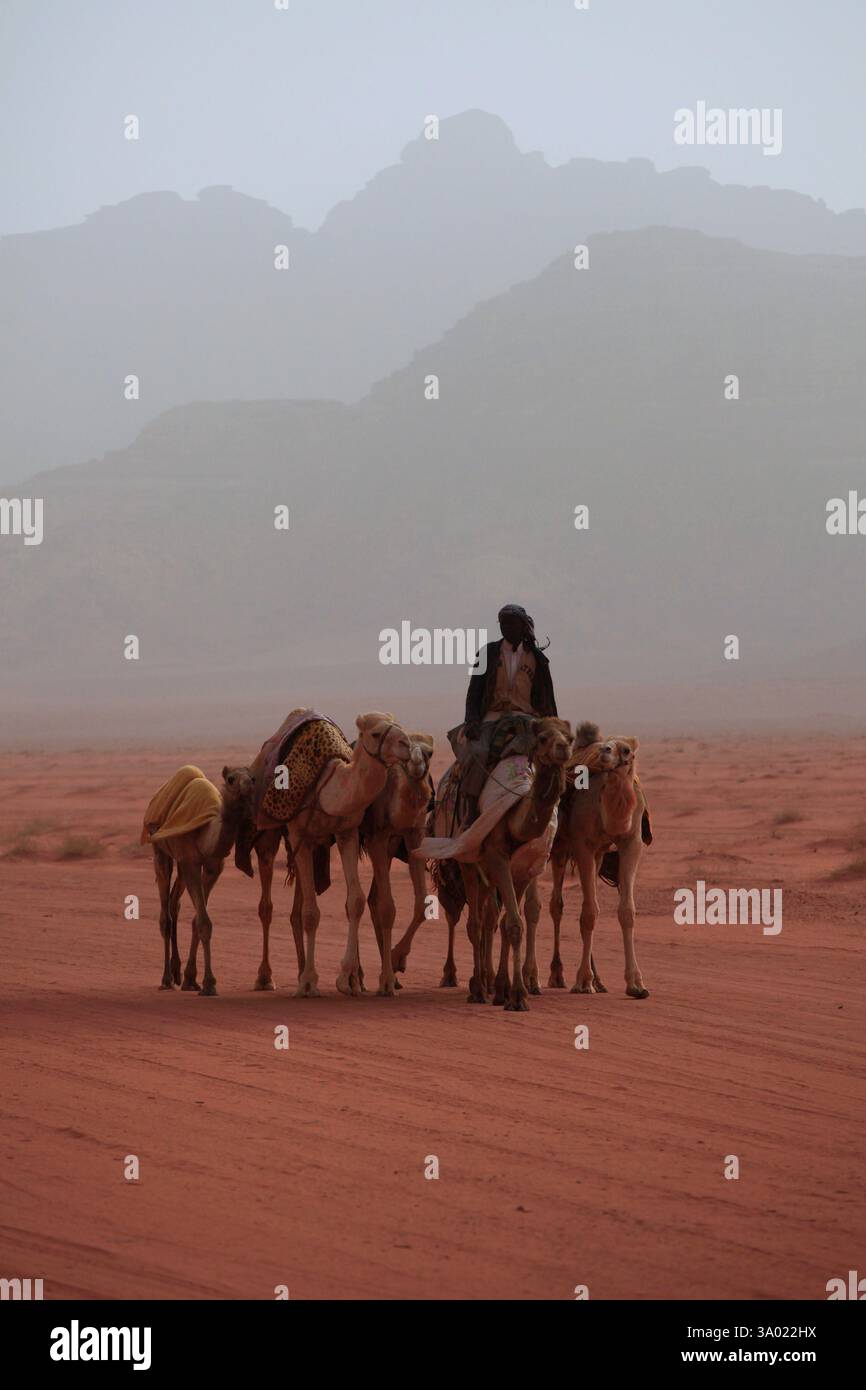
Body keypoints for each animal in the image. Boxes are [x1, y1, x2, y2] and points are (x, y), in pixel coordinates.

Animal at [142, 765, 254, 997]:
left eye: (252, 777)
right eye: (231, 779)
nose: (248, 785)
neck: (206, 834)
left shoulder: (213, 866)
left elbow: (198, 920)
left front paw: (191, 980)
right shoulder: (191, 862)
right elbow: (203, 921)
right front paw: (209, 983)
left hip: (181, 865)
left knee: (174, 903)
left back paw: (176, 972)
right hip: (160, 849)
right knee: (165, 915)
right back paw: (166, 979)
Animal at [252, 713, 412, 998]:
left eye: (399, 726)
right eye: (375, 733)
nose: (406, 745)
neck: (326, 790)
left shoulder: (347, 832)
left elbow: (355, 901)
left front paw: (346, 979)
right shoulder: (299, 834)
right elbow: (311, 914)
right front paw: (309, 983)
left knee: (296, 909)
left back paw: (301, 970)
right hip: (271, 835)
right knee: (267, 905)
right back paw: (266, 977)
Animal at [548, 721, 651, 999]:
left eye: (626, 750)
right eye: (608, 745)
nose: (605, 751)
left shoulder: (631, 843)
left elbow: (626, 910)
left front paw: (636, 983)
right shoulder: (582, 845)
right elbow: (589, 913)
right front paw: (583, 981)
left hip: (598, 853)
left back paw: (599, 980)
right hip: (558, 848)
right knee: (551, 905)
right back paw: (551, 976)